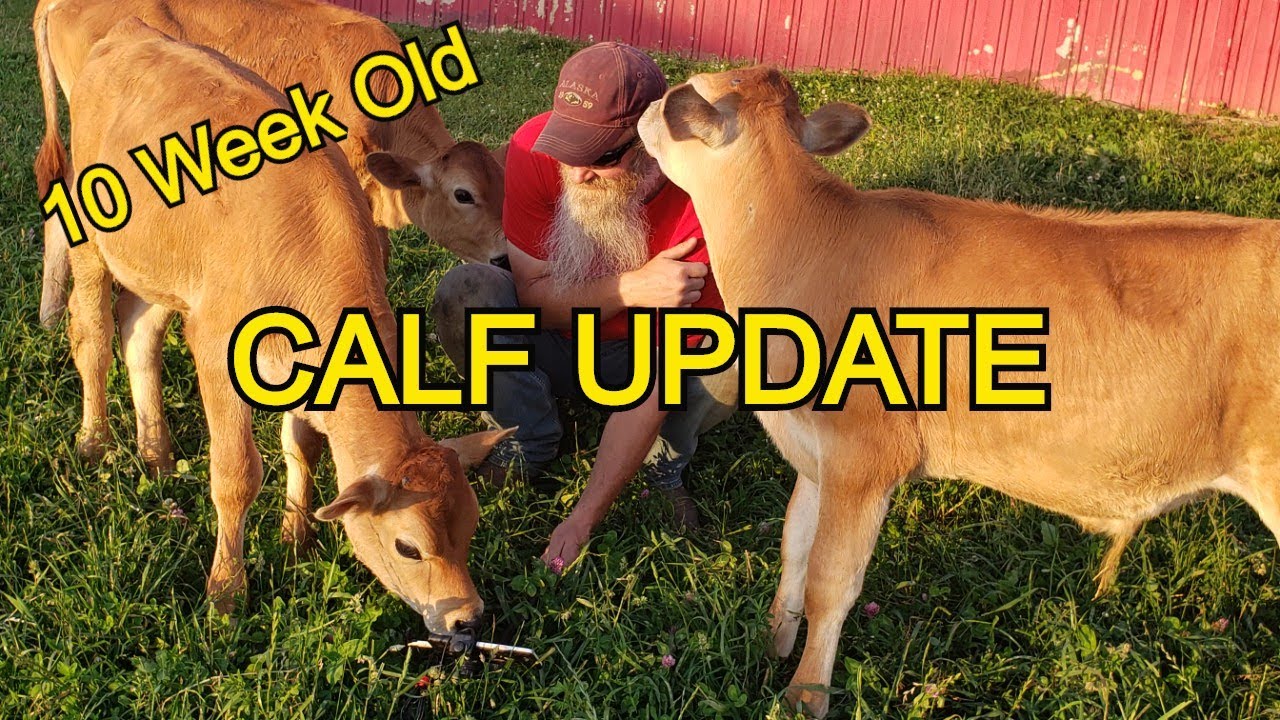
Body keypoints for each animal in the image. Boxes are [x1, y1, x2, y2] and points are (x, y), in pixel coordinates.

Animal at [66, 17, 507, 631]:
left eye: (471, 528)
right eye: (409, 547)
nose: (467, 618)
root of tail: (129, 32)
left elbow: (305, 446)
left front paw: (297, 537)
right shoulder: (214, 347)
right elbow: (236, 474)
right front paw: (226, 592)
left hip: (165, 272)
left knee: (138, 334)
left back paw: (156, 453)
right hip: (89, 238)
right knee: (94, 335)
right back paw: (94, 442)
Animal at [638, 65, 1280, 717]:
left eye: (674, 100)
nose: (643, 111)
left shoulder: (864, 457)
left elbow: (829, 583)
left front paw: (804, 696)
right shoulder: (816, 452)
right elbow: (794, 552)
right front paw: (773, 648)